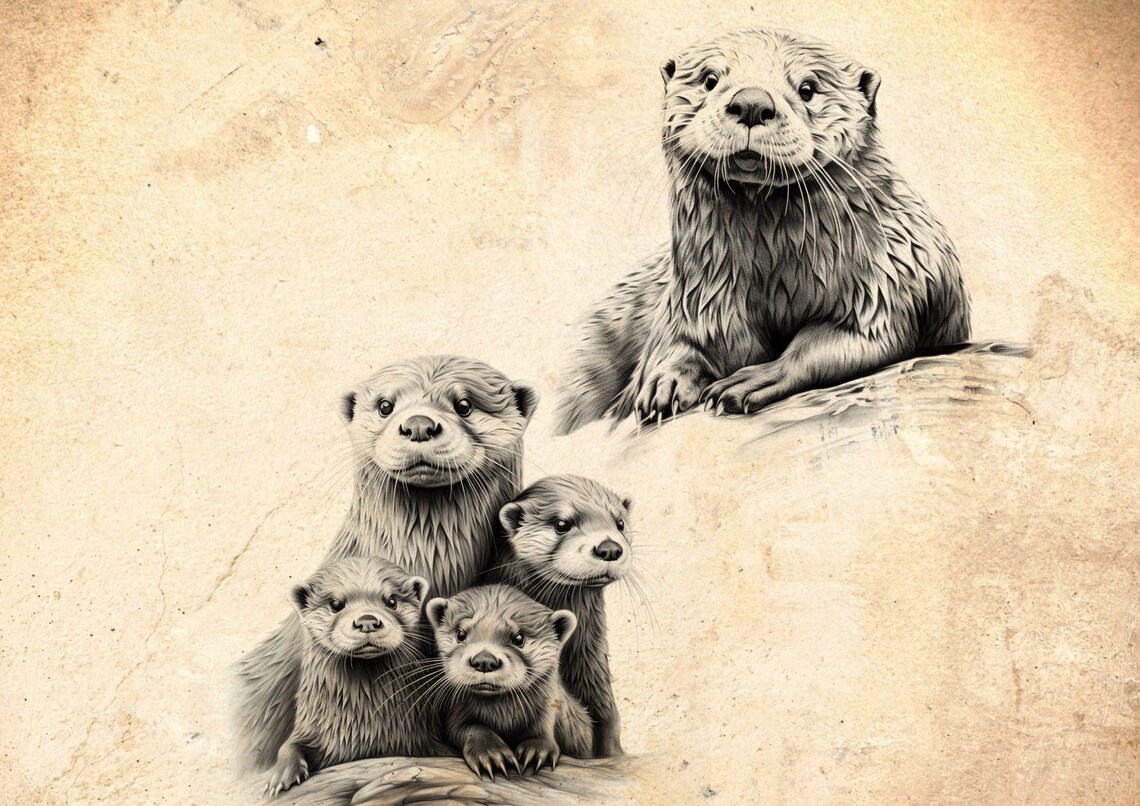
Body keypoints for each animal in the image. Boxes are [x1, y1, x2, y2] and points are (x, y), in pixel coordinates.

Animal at [264, 557, 446, 797]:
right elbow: (289, 746)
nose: (367, 620)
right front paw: (282, 774)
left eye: (392, 601)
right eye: (335, 604)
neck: (368, 723)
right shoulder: (311, 726)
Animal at [426, 585, 594, 779]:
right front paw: (491, 753)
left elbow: (543, 726)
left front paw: (536, 749)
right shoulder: (457, 711)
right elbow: (466, 728)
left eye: (519, 638)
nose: (484, 660)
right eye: (460, 634)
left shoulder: (548, 705)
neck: (503, 715)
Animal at [555, 28, 970, 433]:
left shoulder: (890, 280)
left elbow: (846, 339)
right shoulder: (701, 295)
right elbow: (688, 342)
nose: (752, 103)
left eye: (808, 88)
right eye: (710, 79)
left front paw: (754, 379)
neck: (776, 270)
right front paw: (663, 381)